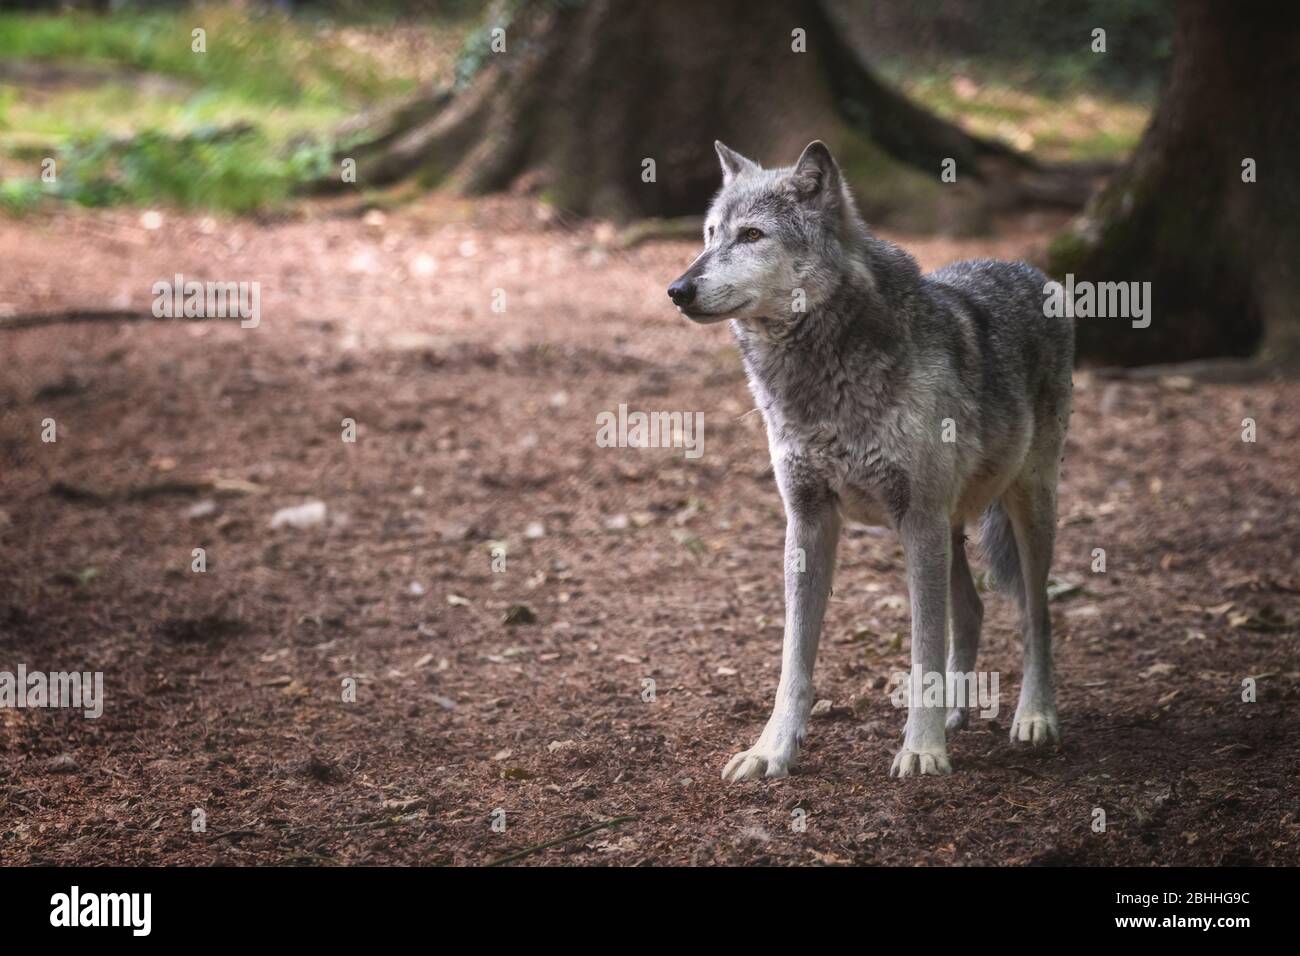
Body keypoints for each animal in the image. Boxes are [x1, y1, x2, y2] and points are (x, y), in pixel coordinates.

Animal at [667, 140, 1073, 780]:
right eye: (710, 234)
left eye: (752, 235)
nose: (677, 289)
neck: (819, 379)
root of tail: (1030, 271)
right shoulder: (809, 520)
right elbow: (794, 659)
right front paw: (771, 750)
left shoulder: (918, 519)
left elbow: (923, 646)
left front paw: (922, 751)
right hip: (949, 528)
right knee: (973, 608)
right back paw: (956, 713)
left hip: (1024, 508)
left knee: (1037, 614)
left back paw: (1034, 717)